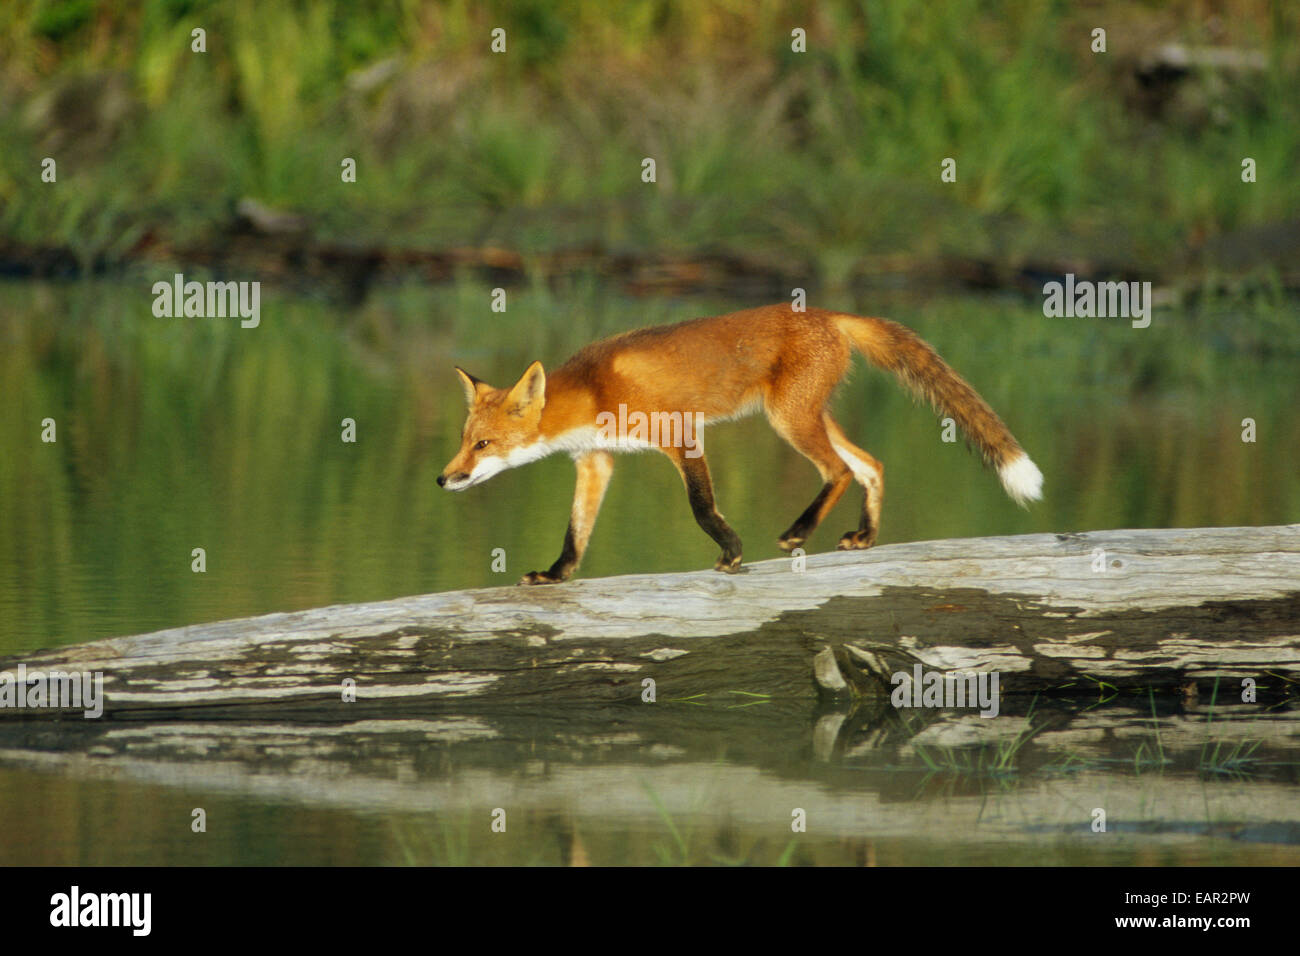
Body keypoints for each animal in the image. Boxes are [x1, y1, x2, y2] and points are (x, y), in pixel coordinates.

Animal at [438, 304, 1043, 585]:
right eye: (465, 441)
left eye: (484, 444)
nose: (444, 478)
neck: (593, 389)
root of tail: (829, 313)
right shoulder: (596, 460)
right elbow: (576, 531)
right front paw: (556, 574)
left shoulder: (679, 433)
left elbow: (701, 505)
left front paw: (730, 551)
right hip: (810, 417)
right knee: (871, 464)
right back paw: (865, 536)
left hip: (788, 421)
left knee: (840, 471)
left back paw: (800, 532)